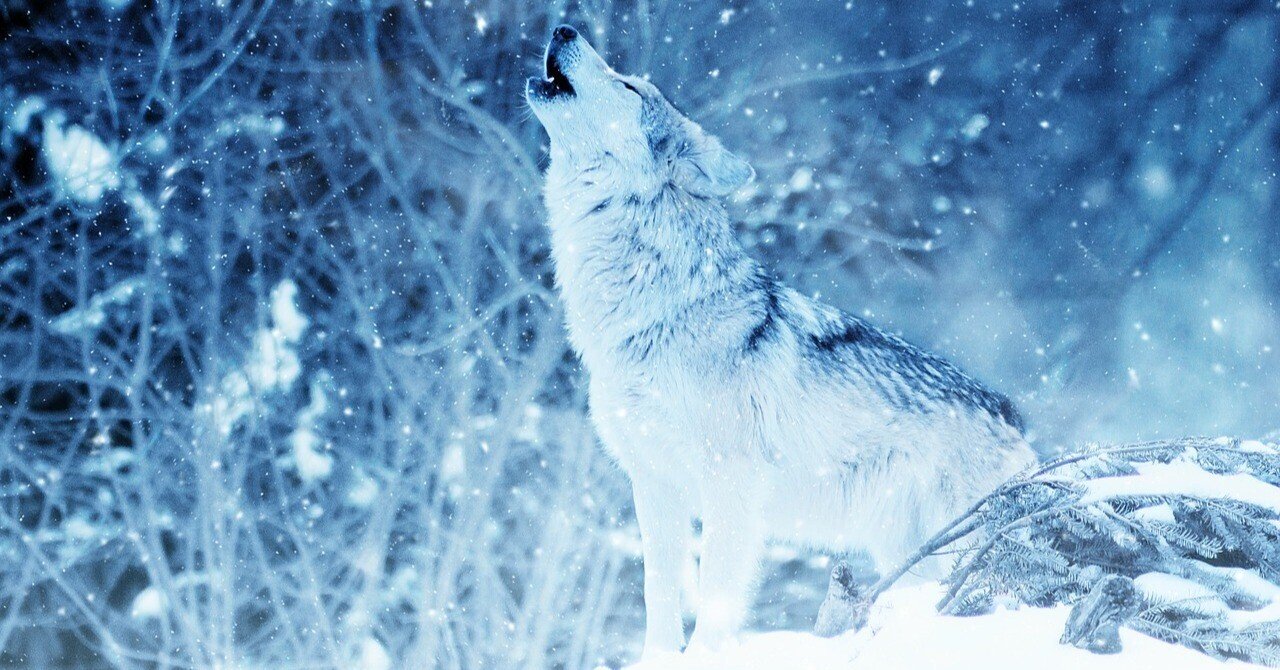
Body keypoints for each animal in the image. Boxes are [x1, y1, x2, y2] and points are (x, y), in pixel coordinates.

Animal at [525, 25, 1036, 659]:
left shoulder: (731, 485)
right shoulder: (654, 484)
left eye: (628, 86)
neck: (654, 311)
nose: (564, 28)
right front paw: (657, 658)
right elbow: (658, 594)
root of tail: (1013, 415)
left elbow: (717, 599)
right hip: (909, 554)